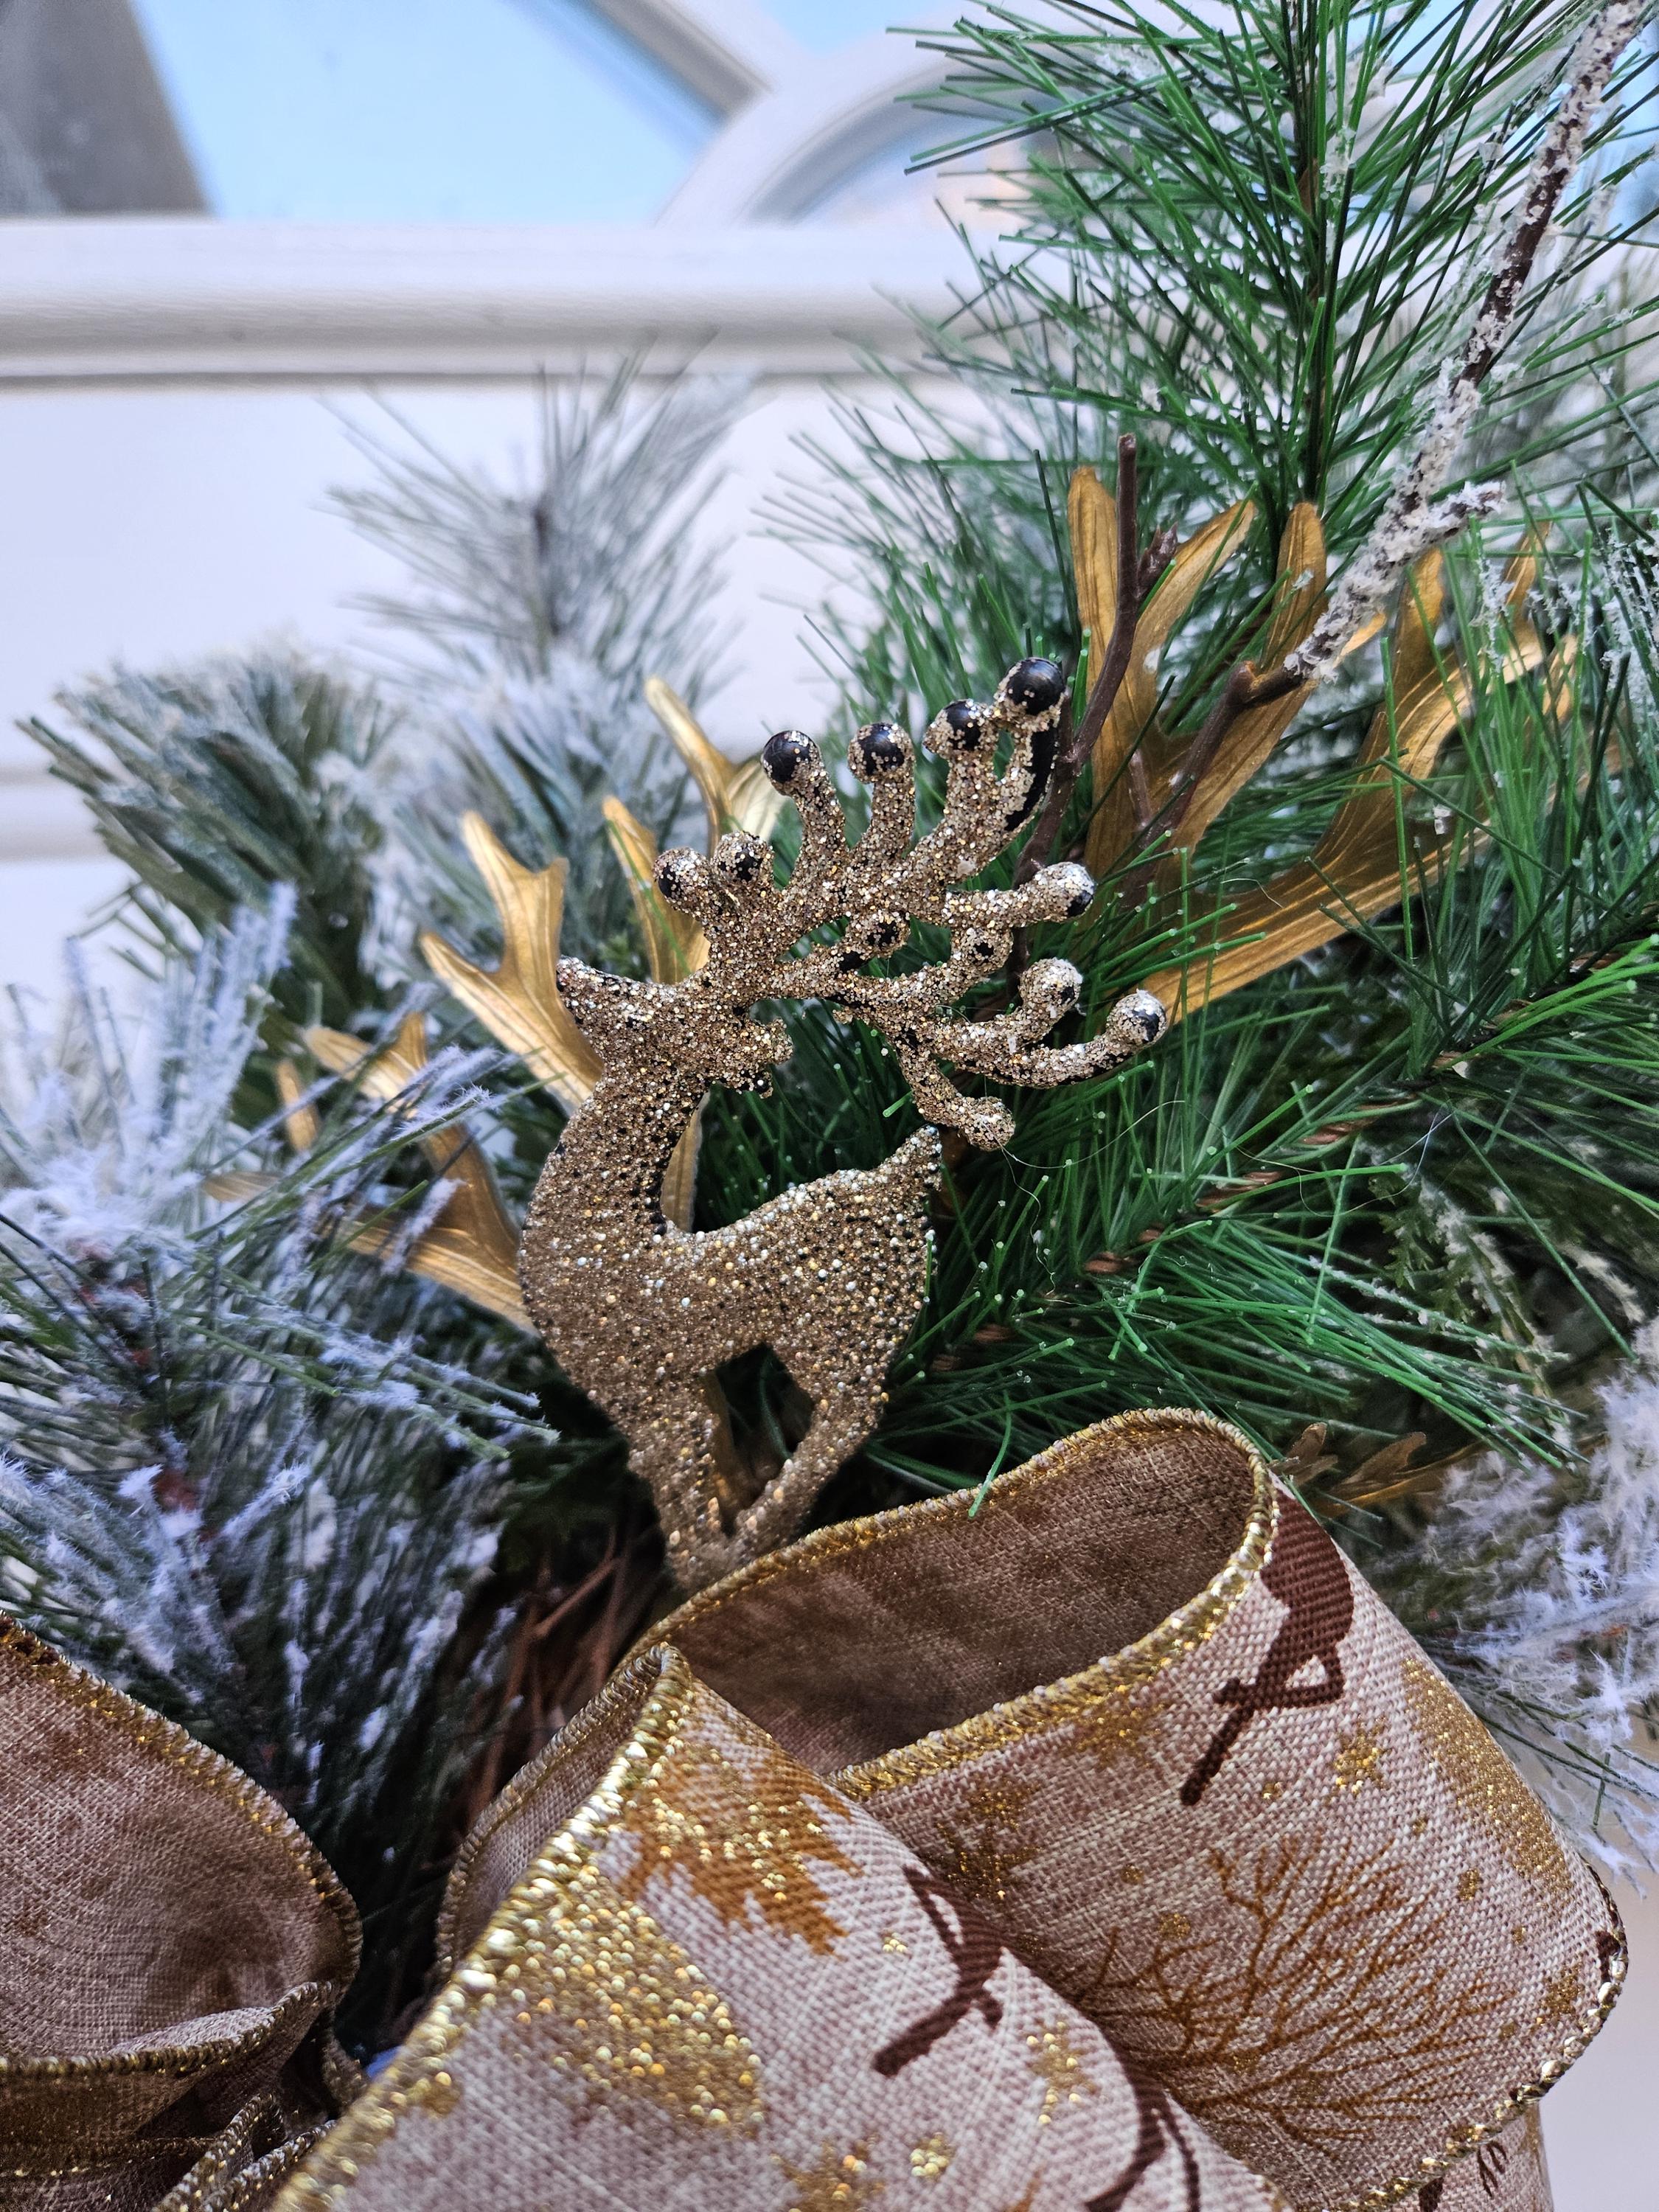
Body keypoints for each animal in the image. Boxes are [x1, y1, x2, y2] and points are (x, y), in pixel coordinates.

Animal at [505, 656, 1167, 1591]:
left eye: (659, 1023)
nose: (759, 1054)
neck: (605, 1233)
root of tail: (902, 1178)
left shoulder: (644, 1385)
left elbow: (682, 1487)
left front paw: (702, 1571)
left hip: (839, 1331)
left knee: (853, 1415)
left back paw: (763, 1537)